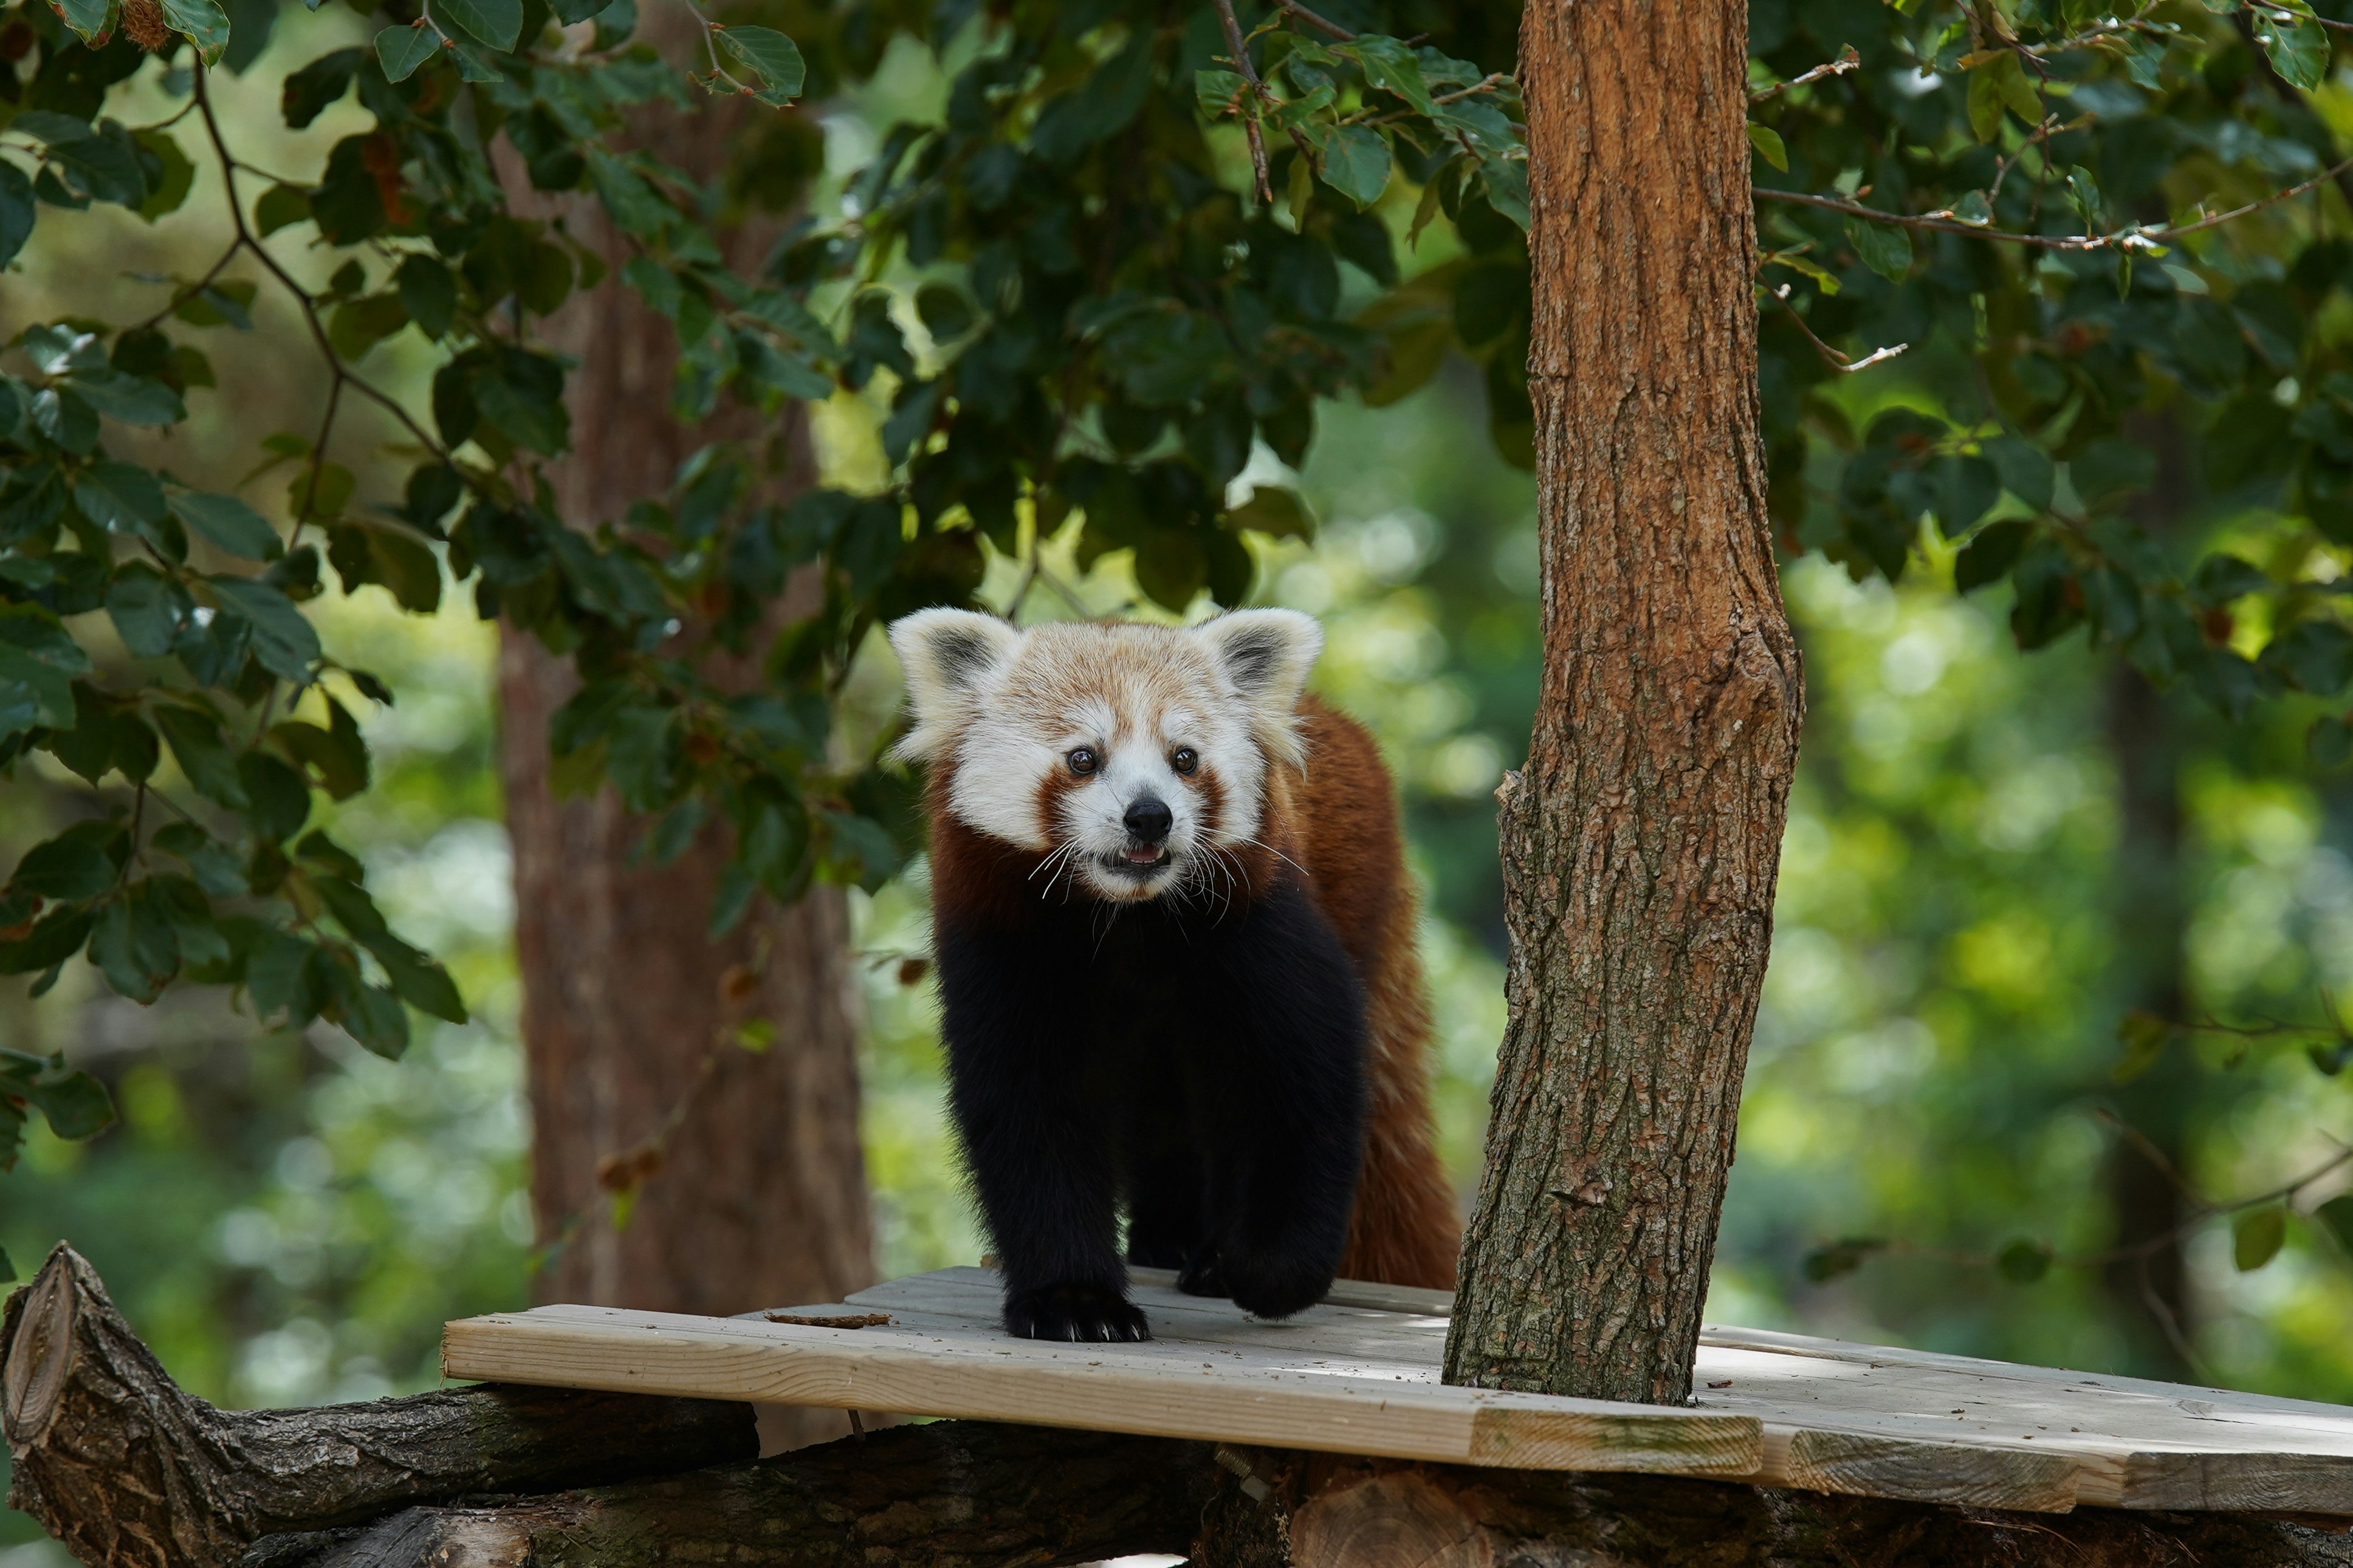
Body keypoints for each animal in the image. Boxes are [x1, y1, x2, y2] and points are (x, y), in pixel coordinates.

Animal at [887, 607, 1457, 1343]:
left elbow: (1302, 1087)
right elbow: (1029, 1111)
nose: (1149, 816)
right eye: (1083, 757)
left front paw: (1262, 1268)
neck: (1125, 919)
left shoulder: (1259, 925)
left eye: (1183, 757)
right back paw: (1167, 1236)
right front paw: (1075, 1299)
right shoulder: (1004, 946)